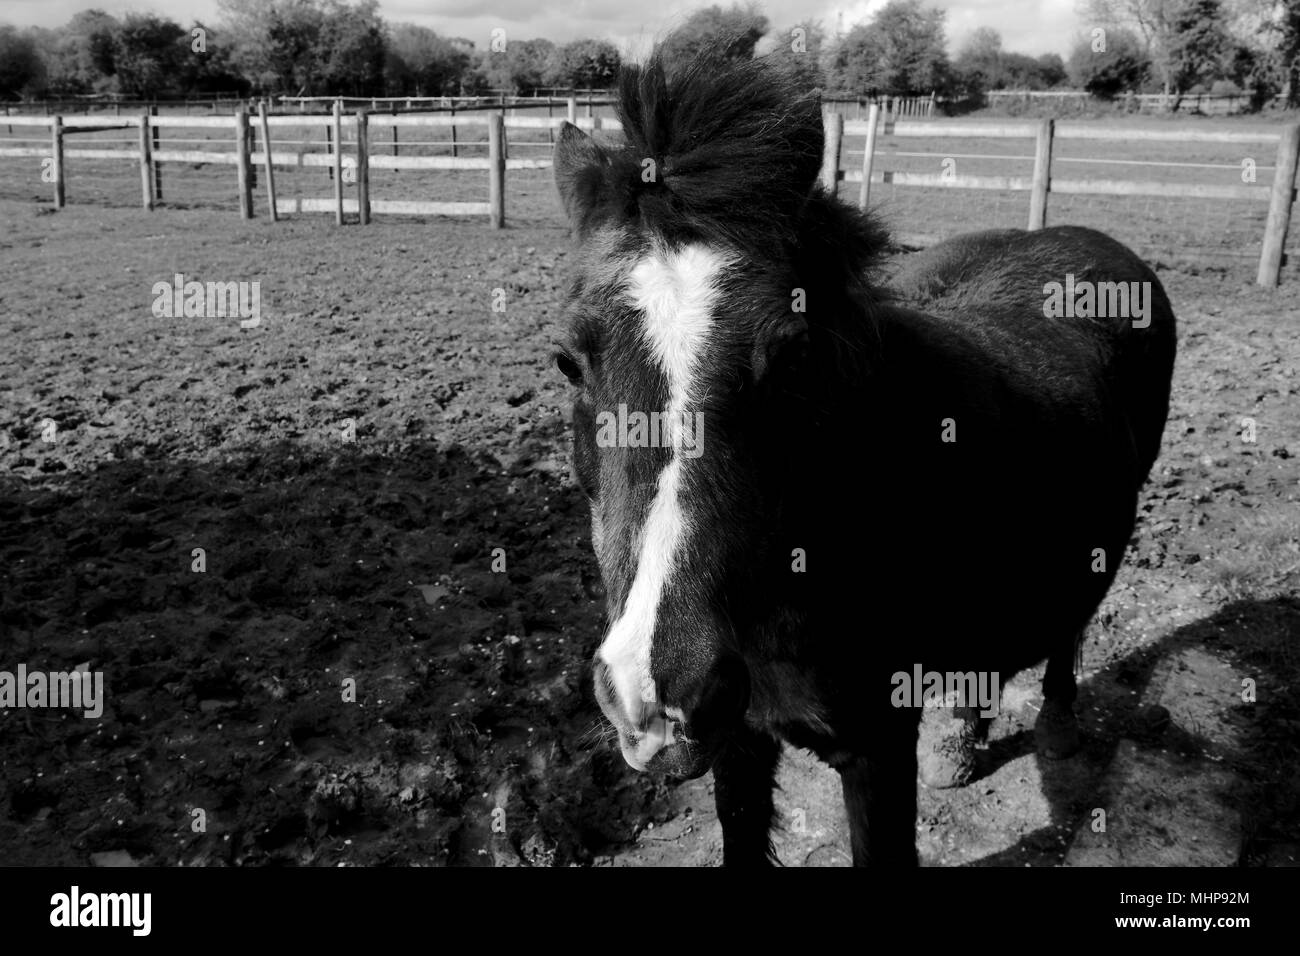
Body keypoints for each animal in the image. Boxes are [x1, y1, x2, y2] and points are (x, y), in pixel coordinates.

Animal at [551, 48, 1177, 866]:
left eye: (794, 356)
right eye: (567, 362)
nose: (657, 700)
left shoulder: (877, 752)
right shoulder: (740, 746)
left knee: (1071, 623)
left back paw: (1057, 727)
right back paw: (960, 748)